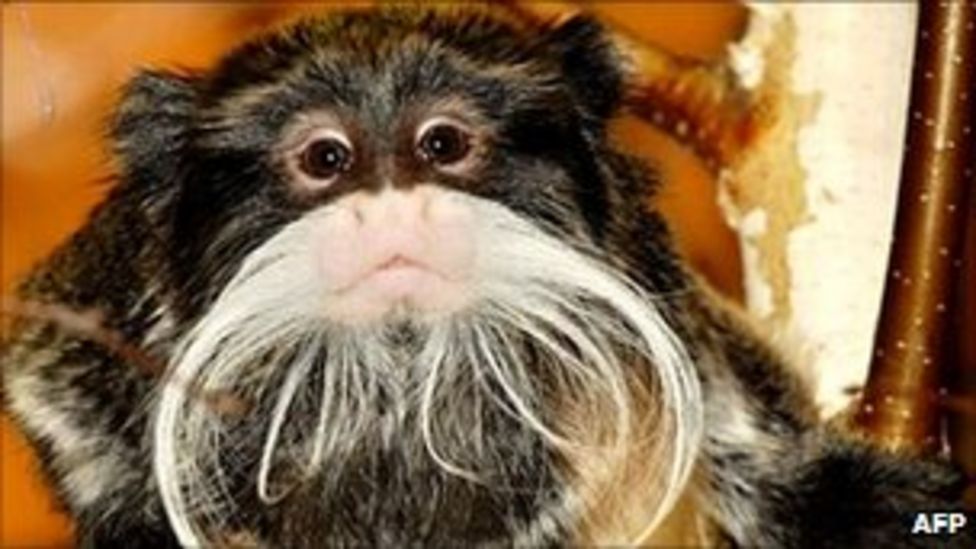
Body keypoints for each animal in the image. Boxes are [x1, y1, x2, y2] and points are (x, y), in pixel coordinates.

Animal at [2, 6, 972, 548]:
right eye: (325, 158)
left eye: (443, 144)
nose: (393, 207)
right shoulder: (116, 292)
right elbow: (45, 376)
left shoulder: (643, 272)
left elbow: (734, 427)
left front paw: (846, 503)